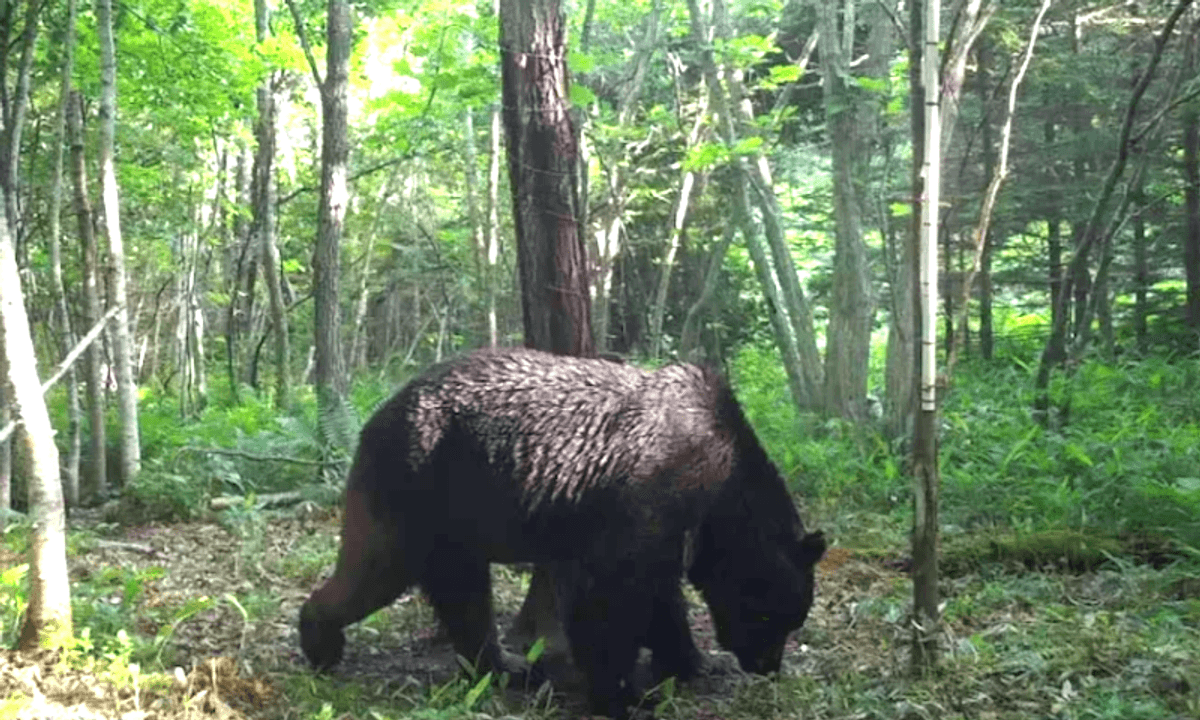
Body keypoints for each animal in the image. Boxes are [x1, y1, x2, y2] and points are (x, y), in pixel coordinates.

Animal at [300, 347, 825, 718]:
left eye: (792, 620)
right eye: (771, 616)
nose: (767, 666)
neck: (719, 489)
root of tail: (378, 413)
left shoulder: (662, 530)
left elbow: (660, 598)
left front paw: (693, 662)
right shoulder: (649, 496)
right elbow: (612, 599)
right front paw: (623, 695)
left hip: (457, 518)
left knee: (463, 593)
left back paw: (504, 666)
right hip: (417, 484)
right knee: (376, 568)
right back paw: (320, 641)